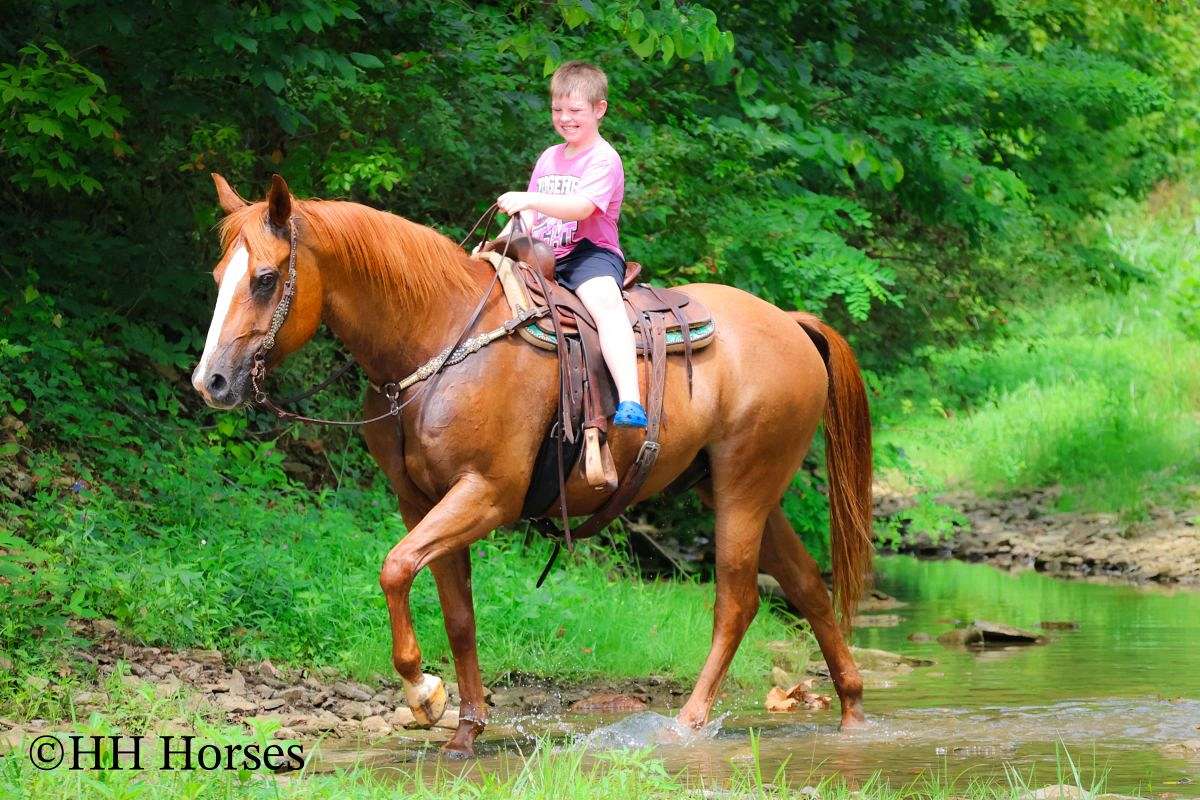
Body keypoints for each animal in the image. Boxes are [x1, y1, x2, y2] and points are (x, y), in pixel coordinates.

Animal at [192, 173, 873, 757]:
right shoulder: (421, 501)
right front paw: (465, 730)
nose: (212, 381)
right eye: (220, 274)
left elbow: (395, 568)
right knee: (807, 586)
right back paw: (852, 711)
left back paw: (687, 723)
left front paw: (424, 694)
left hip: (743, 486)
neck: (439, 337)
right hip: (739, 488)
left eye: (265, 278)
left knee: (737, 601)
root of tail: (790, 324)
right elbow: (457, 612)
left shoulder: (488, 496)